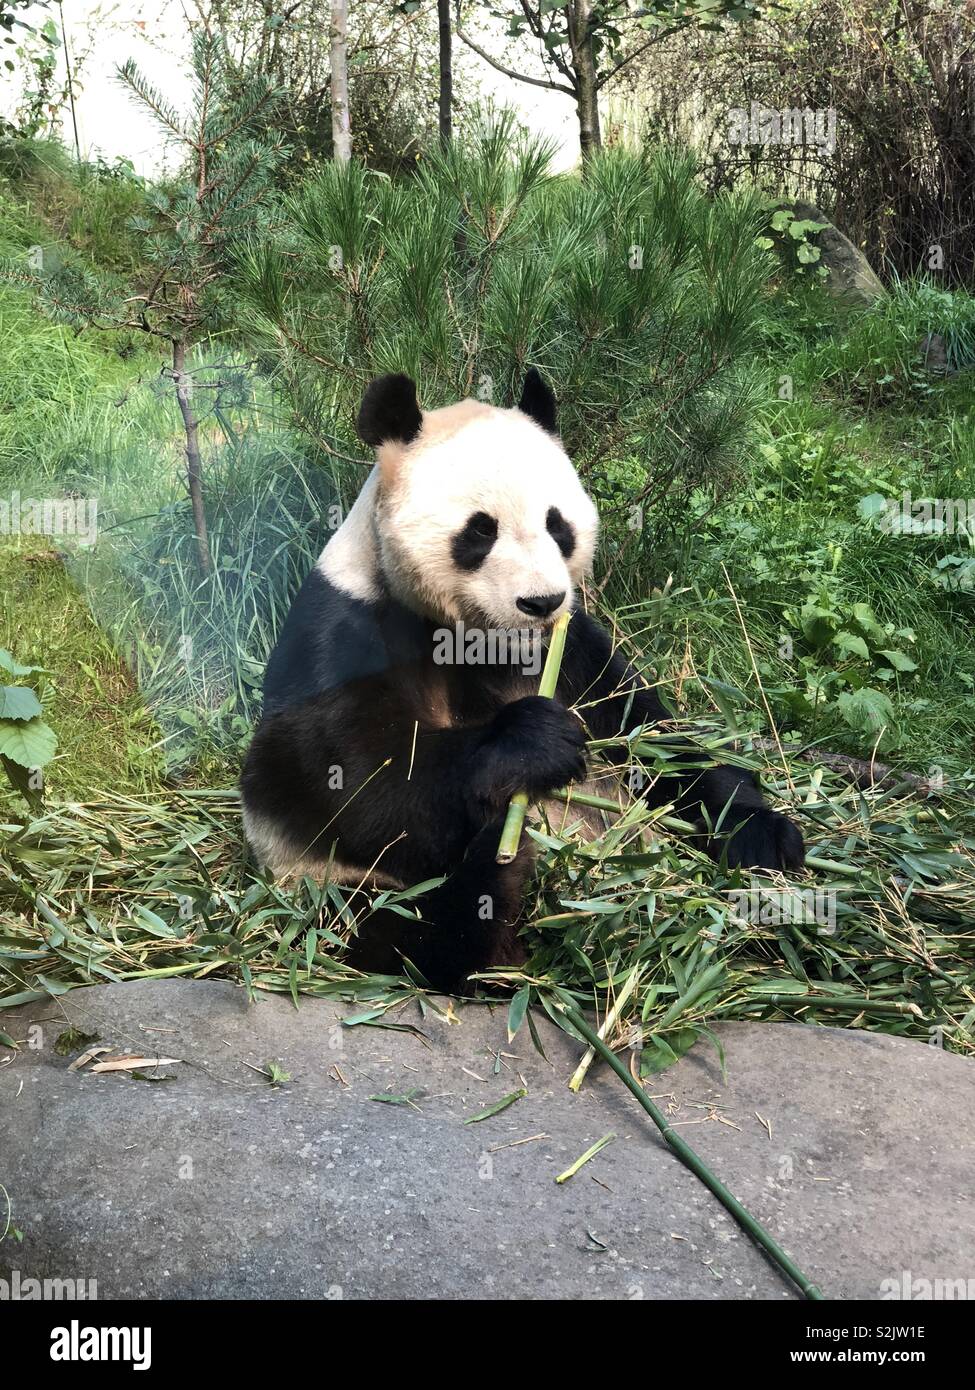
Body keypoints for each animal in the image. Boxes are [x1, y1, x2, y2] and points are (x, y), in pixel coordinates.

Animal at [241, 370, 804, 993]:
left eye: (557, 525)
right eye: (479, 532)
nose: (540, 602)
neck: (481, 639)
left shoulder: (572, 643)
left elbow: (648, 737)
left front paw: (763, 833)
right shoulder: (345, 628)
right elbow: (352, 780)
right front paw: (532, 744)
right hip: (324, 887)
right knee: (395, 926)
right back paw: (496, 886)